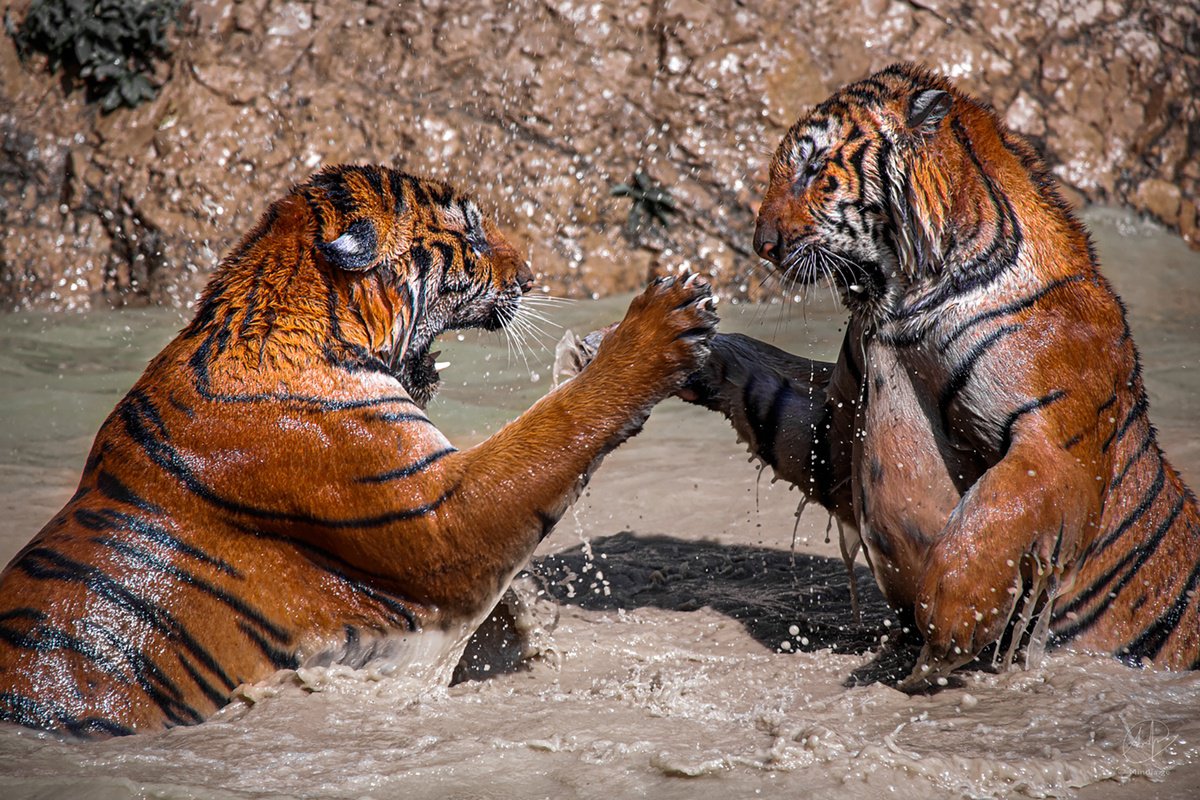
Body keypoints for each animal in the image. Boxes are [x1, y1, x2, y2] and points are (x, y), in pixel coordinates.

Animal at [676, 63, 1200, 687]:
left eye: (813, 169)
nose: (763, 246)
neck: (899, 301)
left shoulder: (1052, 438)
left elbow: (994, 515)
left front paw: (949, 629)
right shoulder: (834, 425)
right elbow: (771, 392)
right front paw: (685, 346)